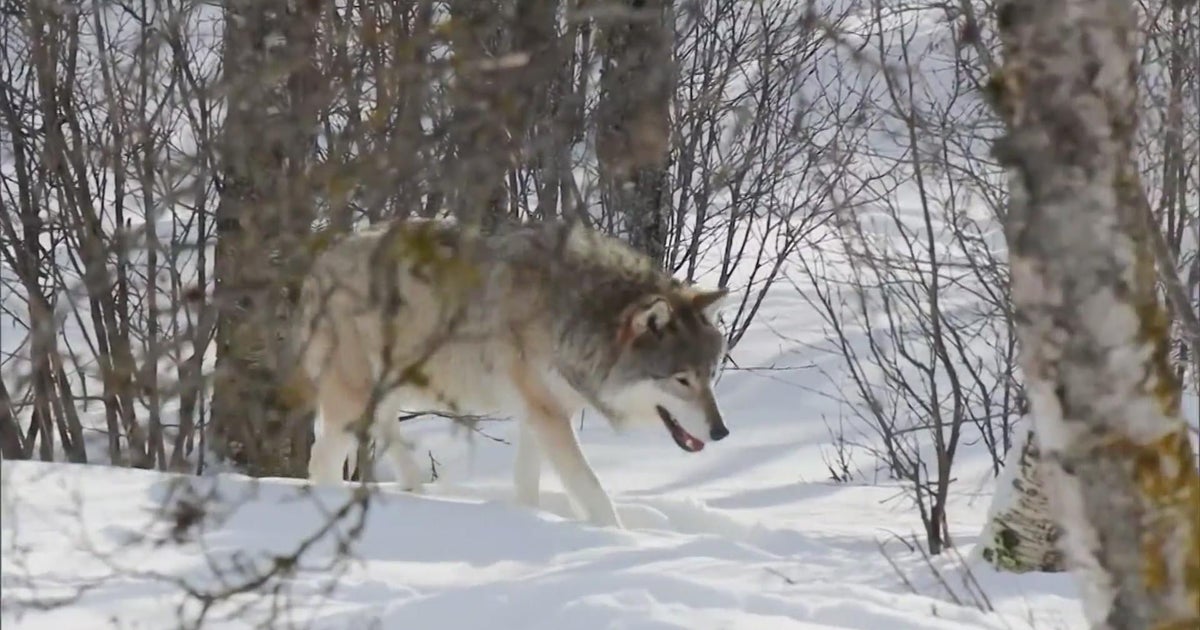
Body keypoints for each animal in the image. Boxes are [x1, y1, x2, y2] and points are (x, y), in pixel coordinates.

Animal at [293, 218, 730, 528]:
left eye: (710, 374)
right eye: (682, 379)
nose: (722, 432)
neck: (574, 316)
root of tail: (318, 263)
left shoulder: (541, 412)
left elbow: (528, 484)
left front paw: (528, 519)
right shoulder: (546, 412)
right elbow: (590, 488)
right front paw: (619, 540)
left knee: (386, 436)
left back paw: (415, 490)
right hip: (351, 398)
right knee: (321, 462)